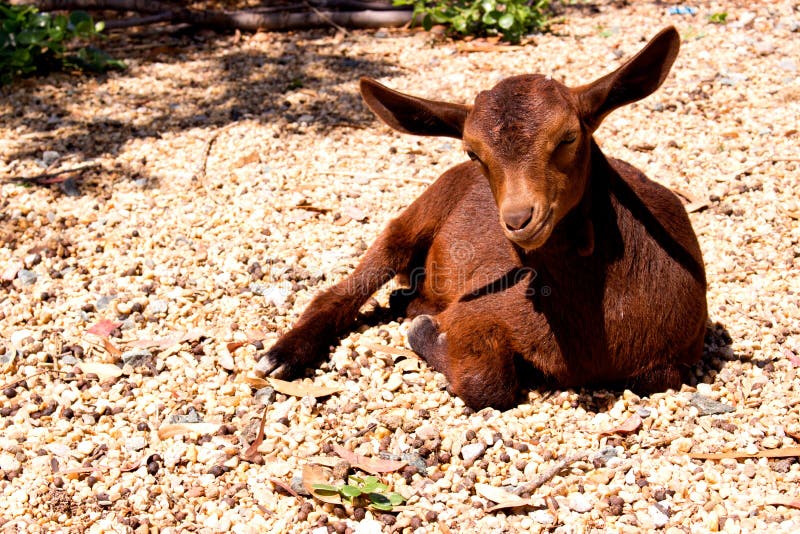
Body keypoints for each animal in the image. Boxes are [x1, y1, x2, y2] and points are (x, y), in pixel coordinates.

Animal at [256, 26, 707, 410]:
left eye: (568, 137)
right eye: (474, 152)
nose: (519, 219)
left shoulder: (675, 358)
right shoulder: (477, 314)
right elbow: (486, 383)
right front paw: (424, 331)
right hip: (420, 213)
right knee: (354, 280)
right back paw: (282, 355)